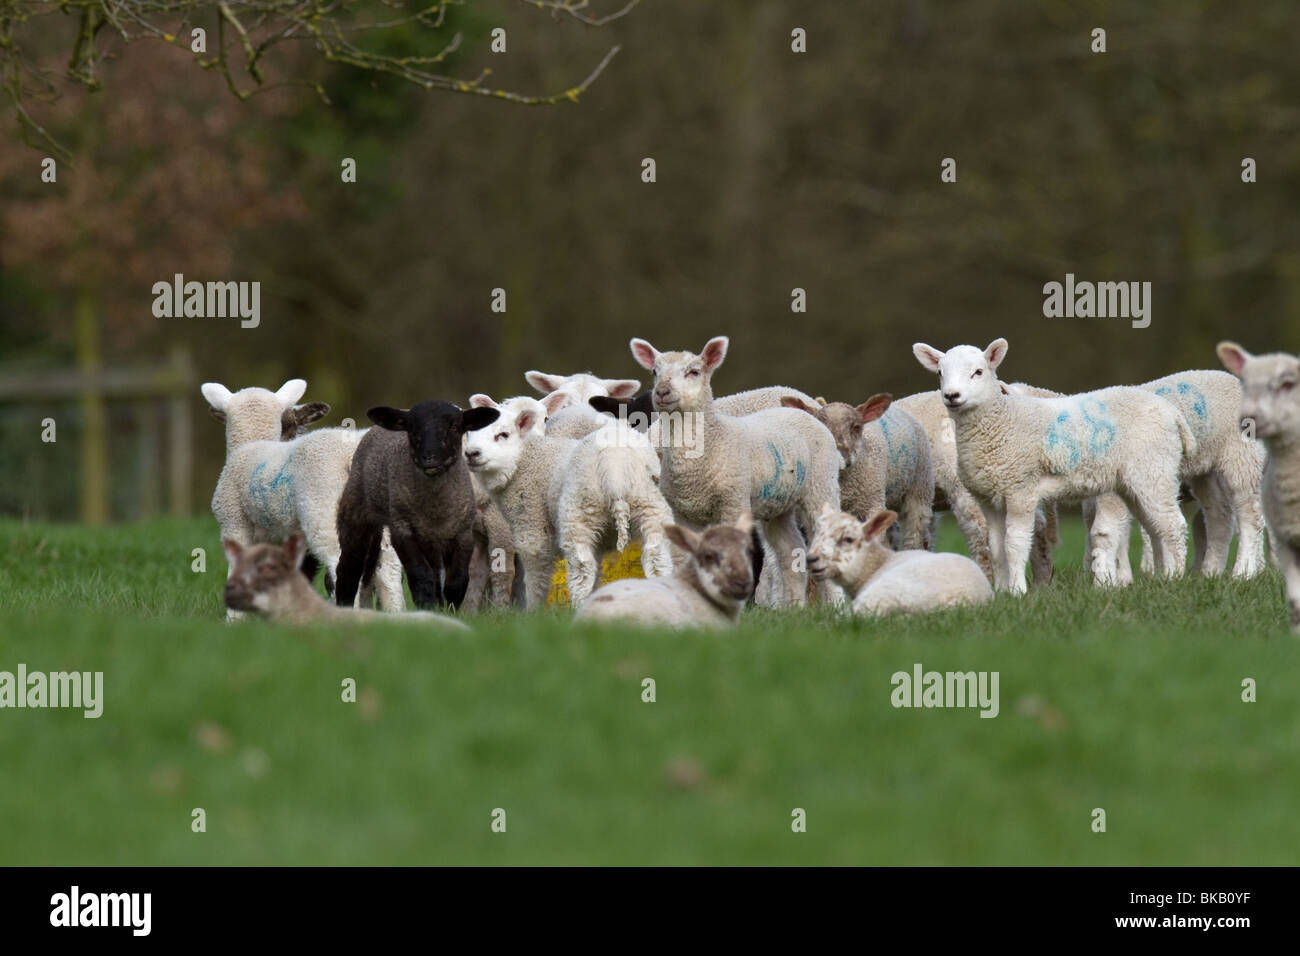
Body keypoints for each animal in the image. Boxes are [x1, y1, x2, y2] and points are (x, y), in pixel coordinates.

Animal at [201, 379, 405, 618]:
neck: (252, 444)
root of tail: (352, 455)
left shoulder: (233, 522)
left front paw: (235, 619)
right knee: (389, 569)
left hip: (323, 510)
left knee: (341, 565)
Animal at [334, 400, 499, 611]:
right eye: (412, 428)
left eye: (455, 427)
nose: (430, 458)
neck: (436, 509)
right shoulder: (402, 530)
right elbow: (421, 575)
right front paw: (426, 606)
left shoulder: (463, 533)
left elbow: (457, 580)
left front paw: (450, 610)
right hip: (356, 512)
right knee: (349, 567)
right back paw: (344, 606)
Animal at [464, 393, 675, 608]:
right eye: (469, 435)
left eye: (503, 435)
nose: (471, 454)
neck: (526, 459)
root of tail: (613, 466)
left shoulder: (530, 521)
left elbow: (534, 572)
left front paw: (533, 610)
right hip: (648, 504)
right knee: (656, 555)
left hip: (579, 512)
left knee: (582, 567)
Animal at [628, 335, 842, 606]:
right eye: (655, 372)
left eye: (694, 371)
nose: (662, 392)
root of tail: (799, 409)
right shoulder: (682, 513)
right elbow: (684, 557)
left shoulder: (733, 502)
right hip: (778, 504)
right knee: (790, 551)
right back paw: (794, 607)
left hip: (821, 485)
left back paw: (837, 606)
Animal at [912, 338, 1195, 595]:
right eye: (940, 373)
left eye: (978, 372)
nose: (952, 396)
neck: (999, 421)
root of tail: (1173, 413)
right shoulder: (988, 499)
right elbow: (995, 547)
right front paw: (1001, 593)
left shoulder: (1020, 490)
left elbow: (1014, 544)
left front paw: (1017, 591)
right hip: (1134, 482)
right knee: (1155, 527)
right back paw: (1162, 577)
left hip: (1153, 470)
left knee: (1173, 525)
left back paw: (1176, 577)